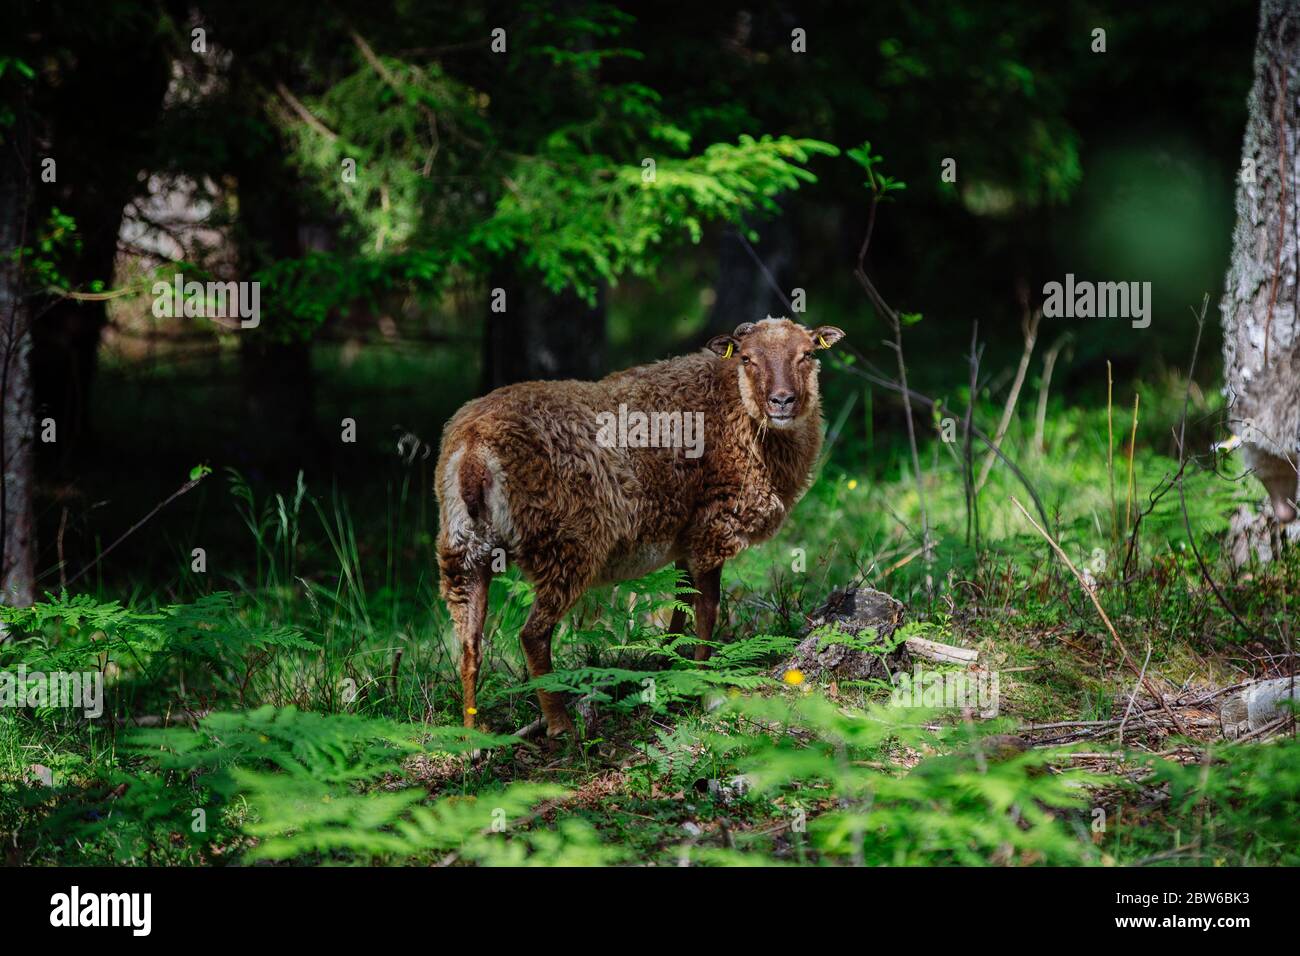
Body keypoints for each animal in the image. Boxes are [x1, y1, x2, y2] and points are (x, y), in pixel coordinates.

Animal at [435, 317, 845, 736]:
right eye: (747, 358)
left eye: (807, 354)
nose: (782, 401)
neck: (737, 408)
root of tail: (473, 452)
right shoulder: (714, 526)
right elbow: (707, 609)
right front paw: (704, 688)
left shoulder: (687, 535)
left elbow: (682, 602)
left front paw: (669, 661)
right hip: (564, 543)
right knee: (532, 635)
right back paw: (560, 724)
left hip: (464, 549)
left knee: (469, 644)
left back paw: (472, 733)